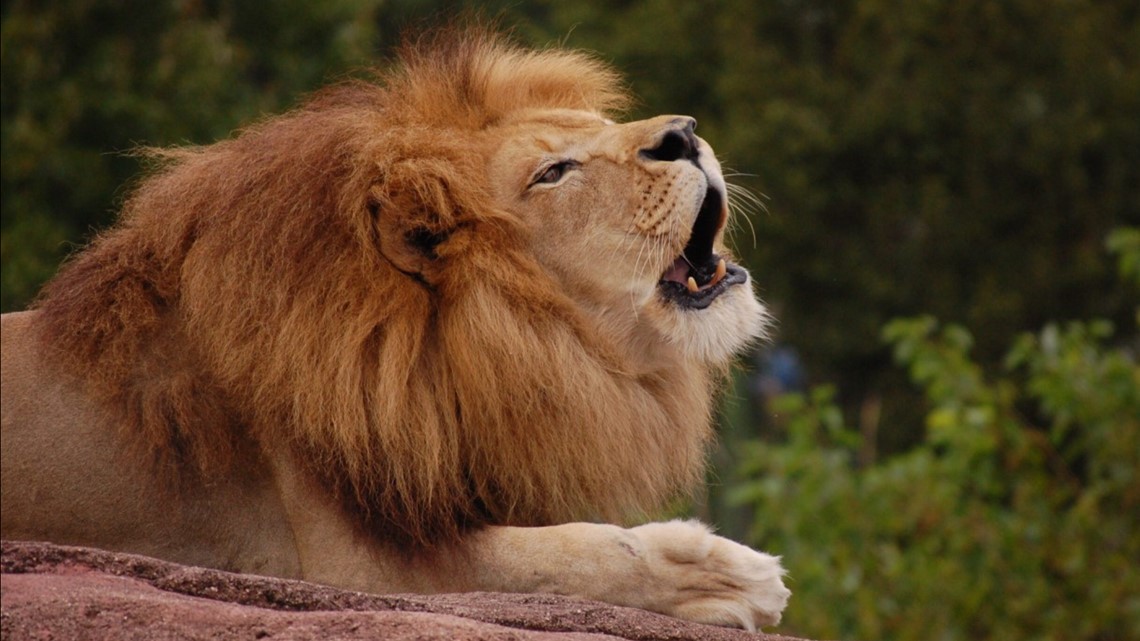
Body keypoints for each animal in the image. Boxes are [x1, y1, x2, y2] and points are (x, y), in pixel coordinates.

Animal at [0, 27, 789, 630]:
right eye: (553, 172)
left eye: (599, 130)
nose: (685, 134)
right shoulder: (348, 562)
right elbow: (567, 555)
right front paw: (729, 576)